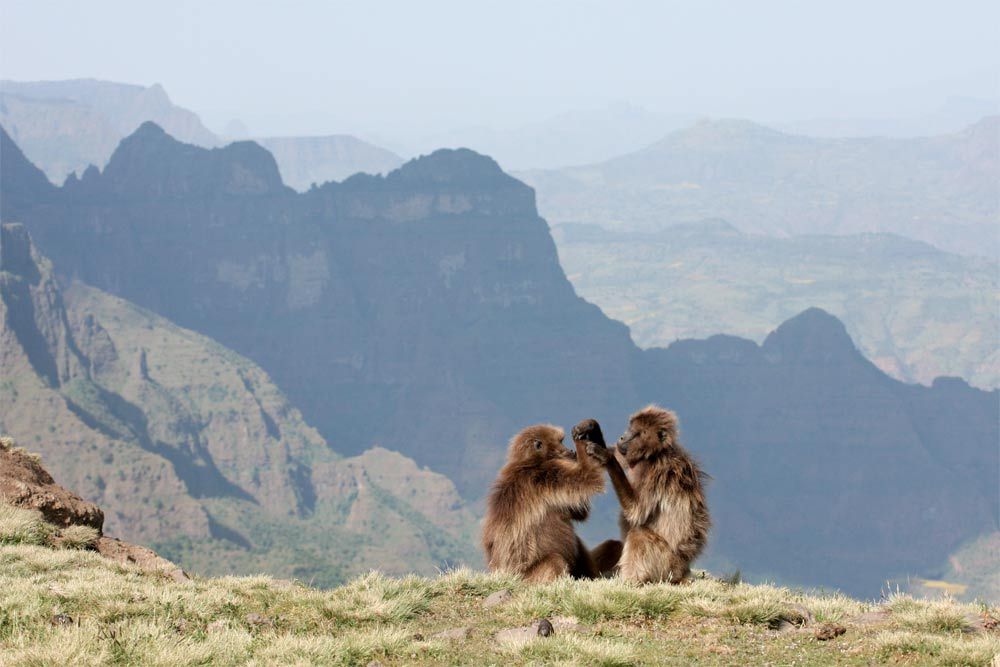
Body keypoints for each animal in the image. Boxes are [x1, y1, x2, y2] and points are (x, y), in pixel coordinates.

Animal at [482, 424, 606, 582]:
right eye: (560, 441)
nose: (571, 451)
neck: (528, 463)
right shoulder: (549, 473)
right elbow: (588, 477)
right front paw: (583, 434)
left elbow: (579, 512)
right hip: (530, 577)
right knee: (554, 561)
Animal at [572, 406, 710, 584]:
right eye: (630, 427)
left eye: (637, 433)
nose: (622, 437)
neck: (653, 455)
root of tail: (683, 570)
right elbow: (619, 456)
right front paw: (589, 426)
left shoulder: (655, 474)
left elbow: (636, 510)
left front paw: (606, 457)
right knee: (614, 545)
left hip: (666, 566)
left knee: (639, 535)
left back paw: (628, 582)